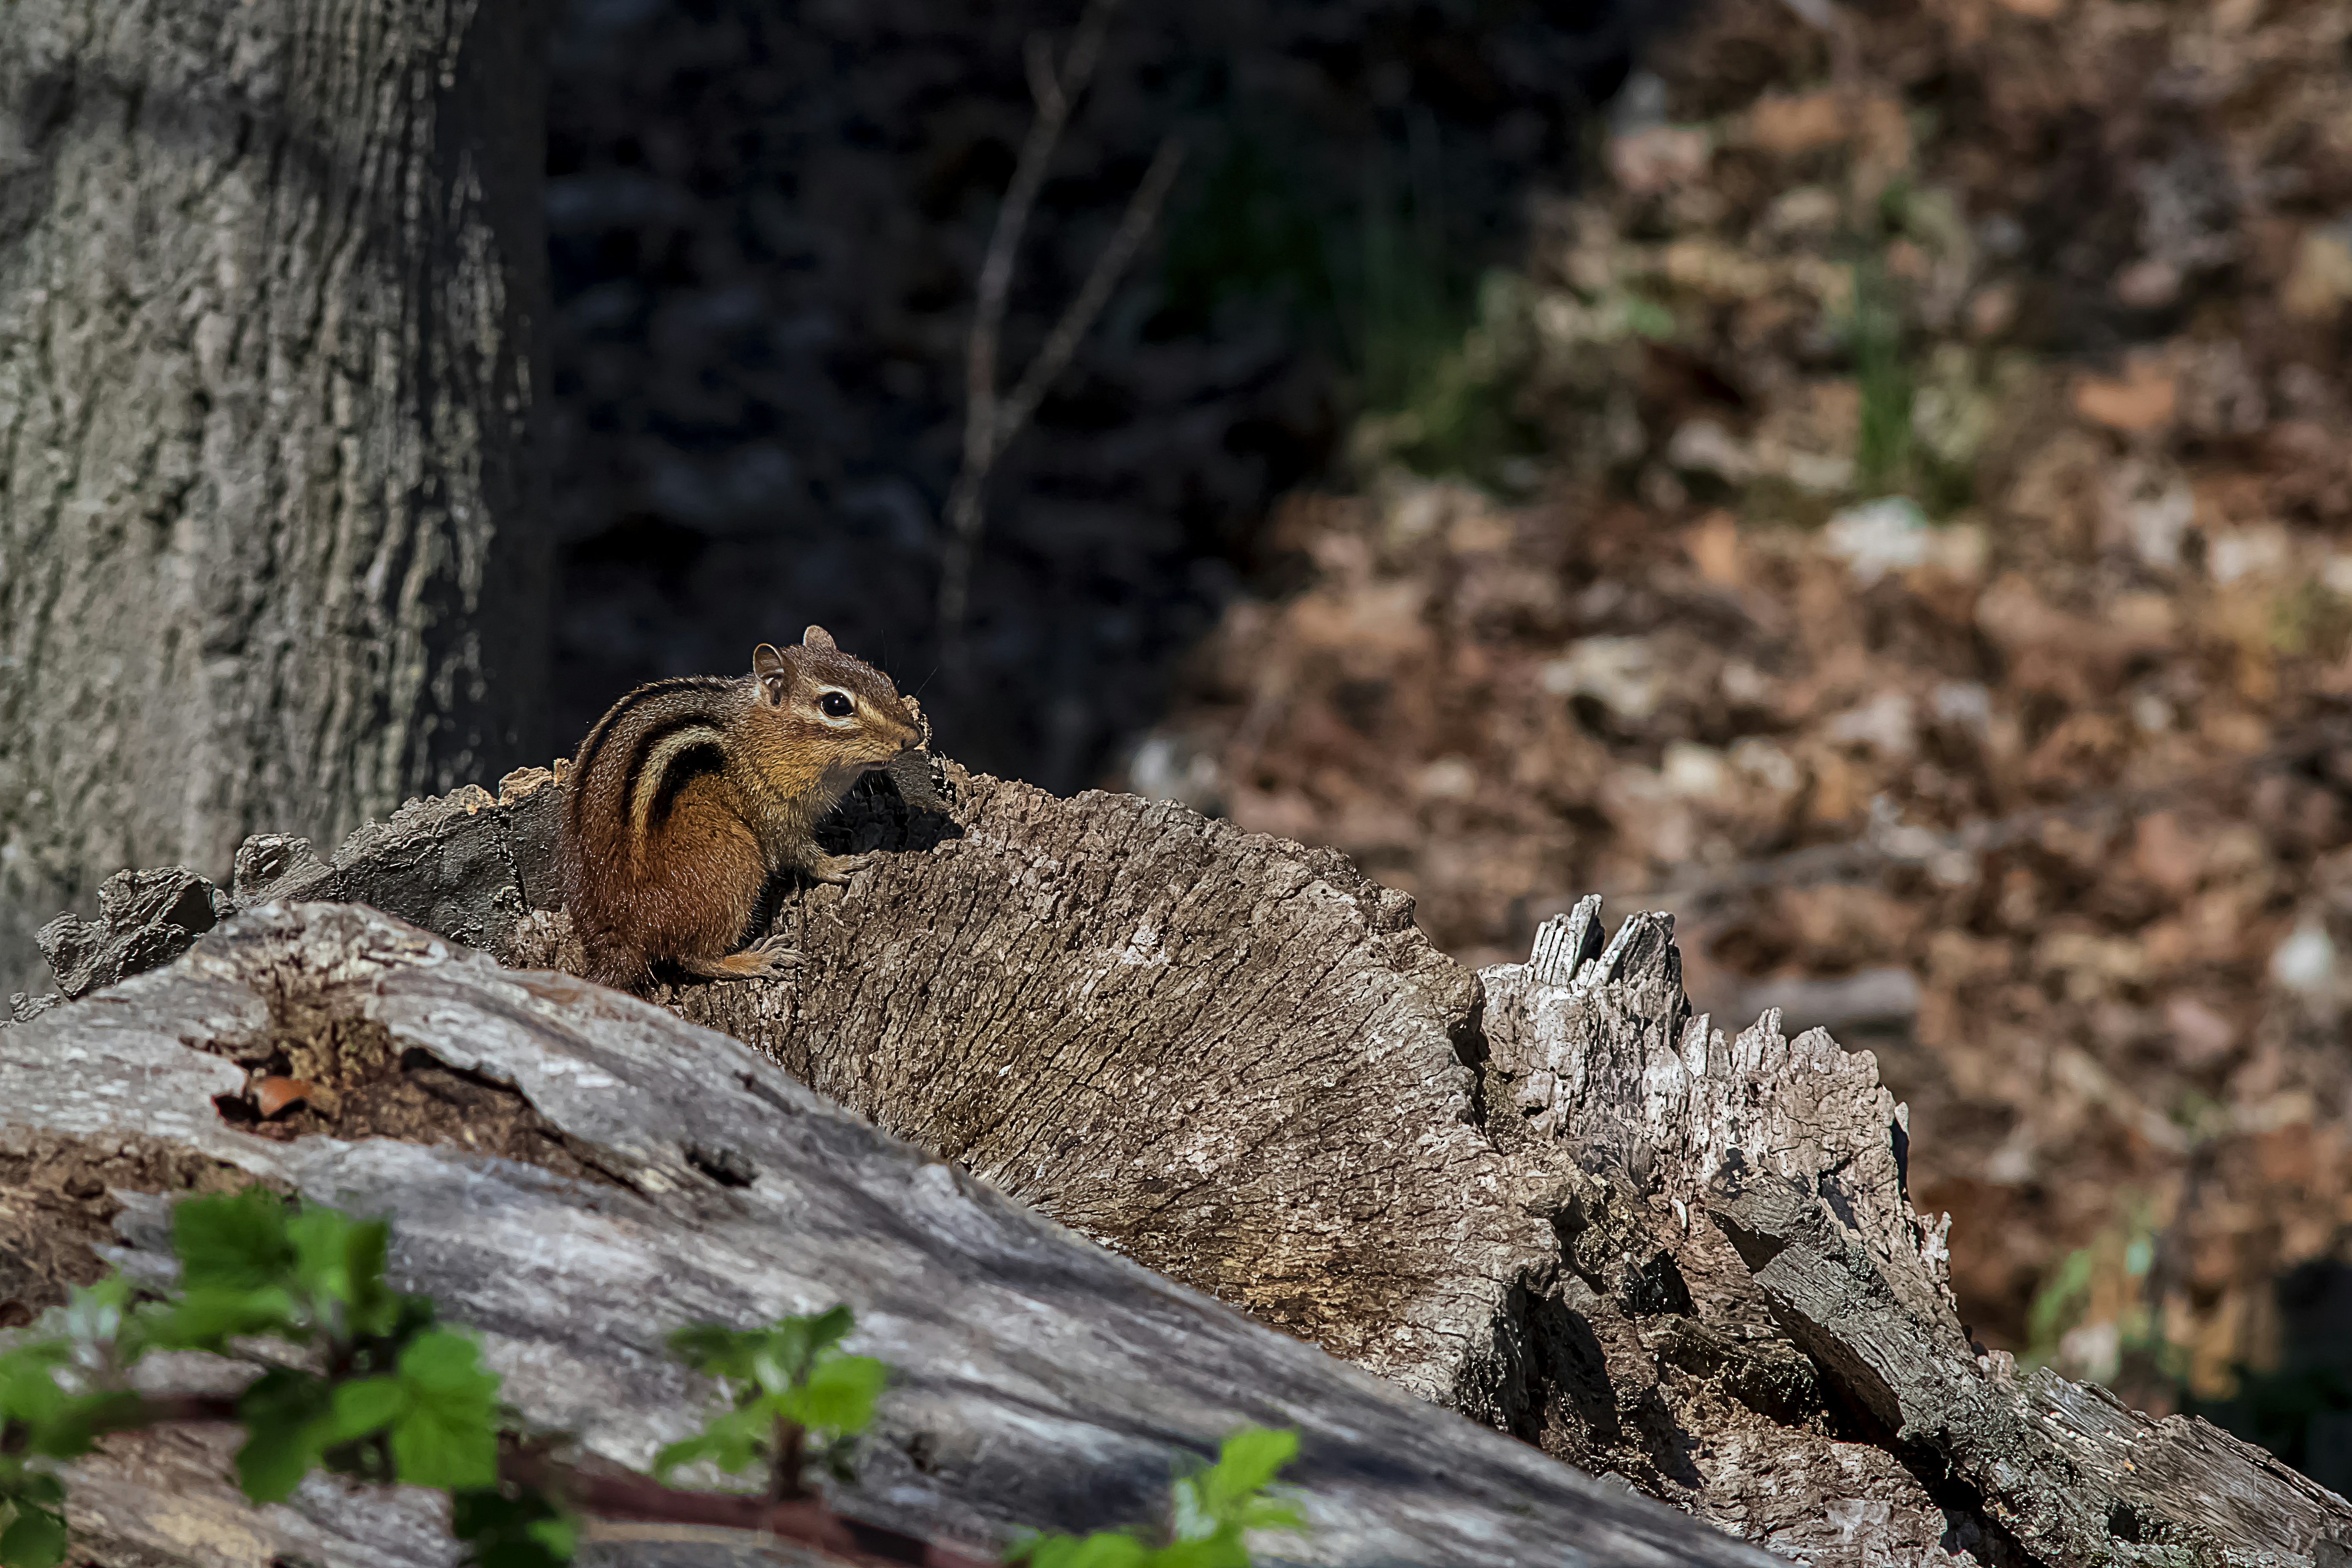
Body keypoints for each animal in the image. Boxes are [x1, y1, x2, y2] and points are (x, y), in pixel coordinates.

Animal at [557, 627, 923, 994]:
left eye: (883, 678)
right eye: (836, 705)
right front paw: (839, 865)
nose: (913, 736)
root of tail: (620, 940)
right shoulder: (771, 807)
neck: (758, 736)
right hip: (733, 860)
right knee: (694, 958)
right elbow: (799, 852)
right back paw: (754, 960)